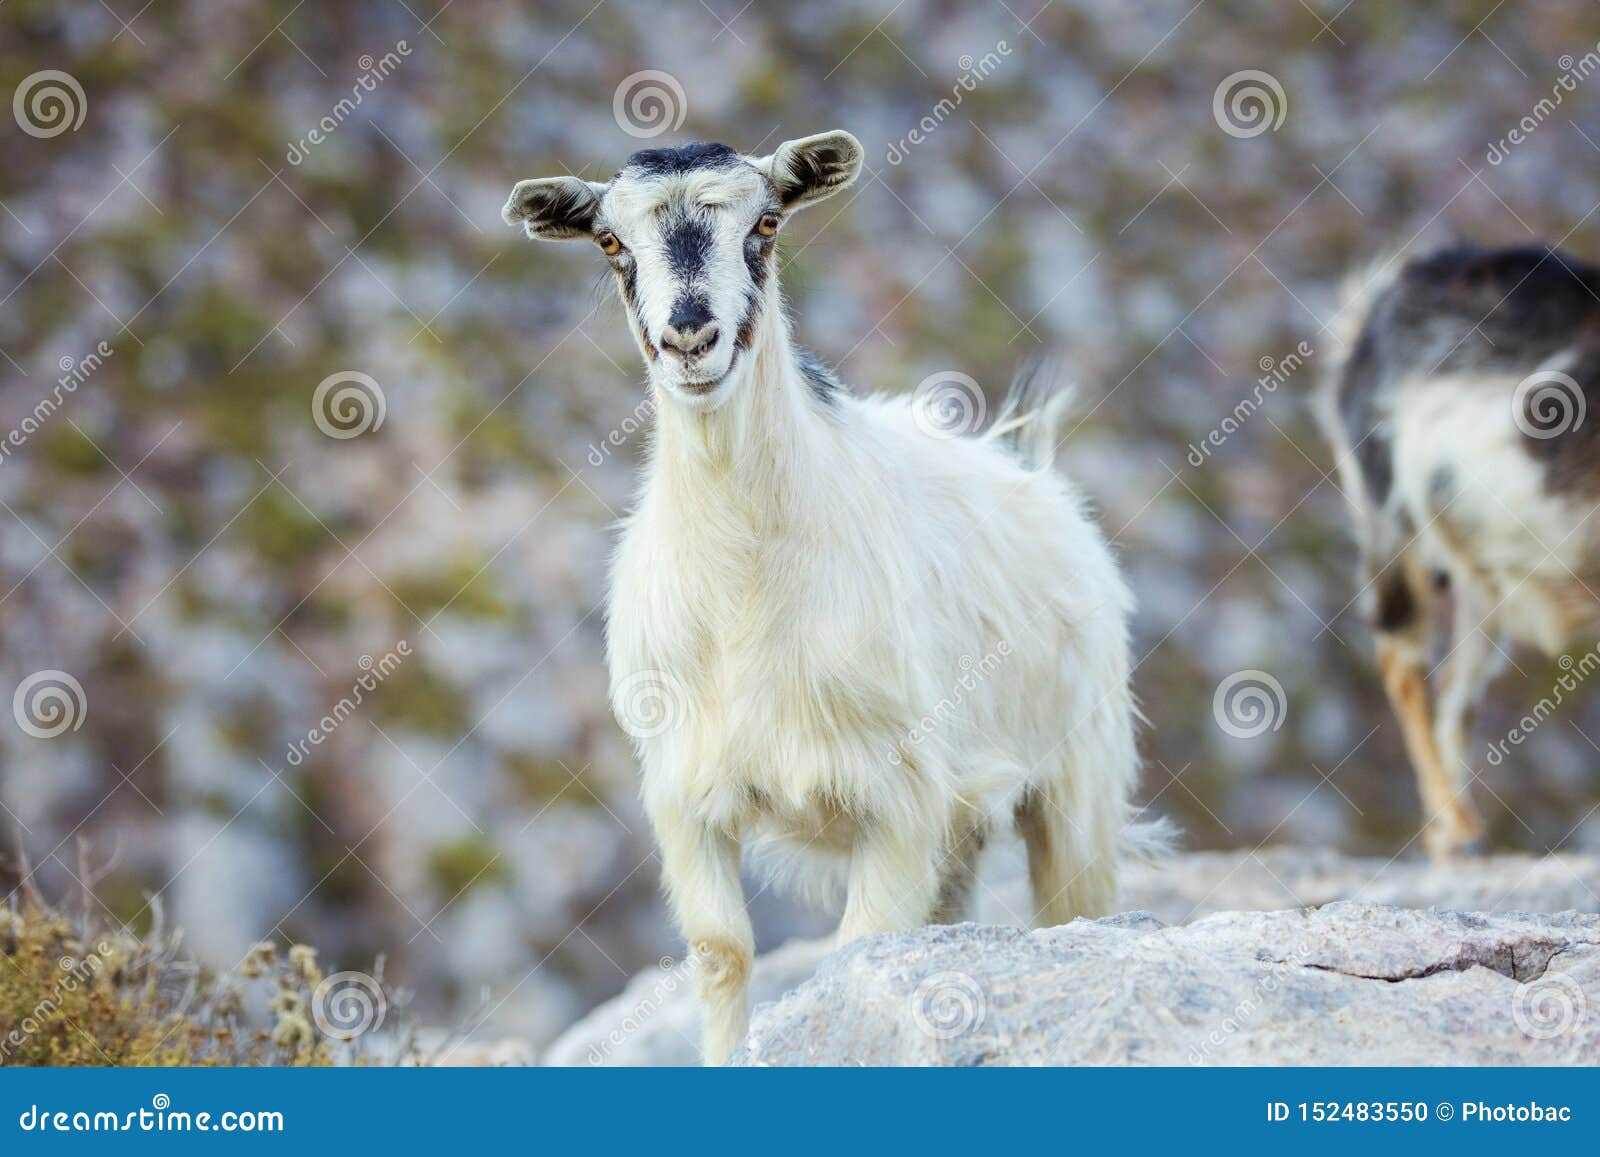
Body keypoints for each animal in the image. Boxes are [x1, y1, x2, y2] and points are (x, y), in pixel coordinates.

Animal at [505, 131, 1159, 1063]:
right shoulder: (684, 796)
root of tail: (1029, 466)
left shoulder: (899, 796)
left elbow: (859, 945)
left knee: (1073, 900)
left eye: (768, 222)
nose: (690, 336)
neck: (744, 587)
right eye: (607, 242)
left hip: (1079, 778)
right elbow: (723, 951)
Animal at [1320, 243, 1600, 858]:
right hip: (1392, 526)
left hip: (1482, 576)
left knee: (1456, 693)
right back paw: (1461, 830)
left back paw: (1449, 836)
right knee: (1404, 665)